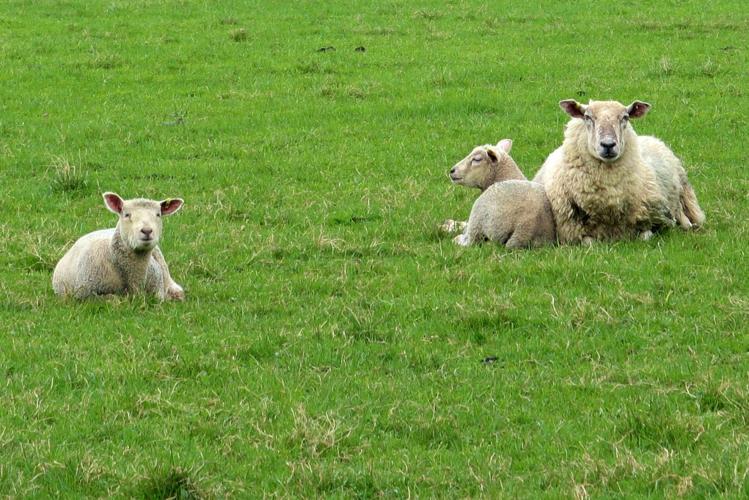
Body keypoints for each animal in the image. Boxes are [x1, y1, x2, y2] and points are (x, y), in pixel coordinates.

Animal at [52, 192, 185, 300]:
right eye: (127, 215)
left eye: (158, 214)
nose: (147, 231)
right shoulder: (85, 295)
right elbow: (114, 300)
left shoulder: (157, 290)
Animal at [531, 99, 703, 244]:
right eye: (587, 117)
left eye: (625, 117)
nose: (608, 144)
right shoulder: (573, 233)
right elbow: (590, 243)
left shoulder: (652, 221)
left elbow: (645, 236)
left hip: (679, 193)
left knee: (682, 214)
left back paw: (689, 226)